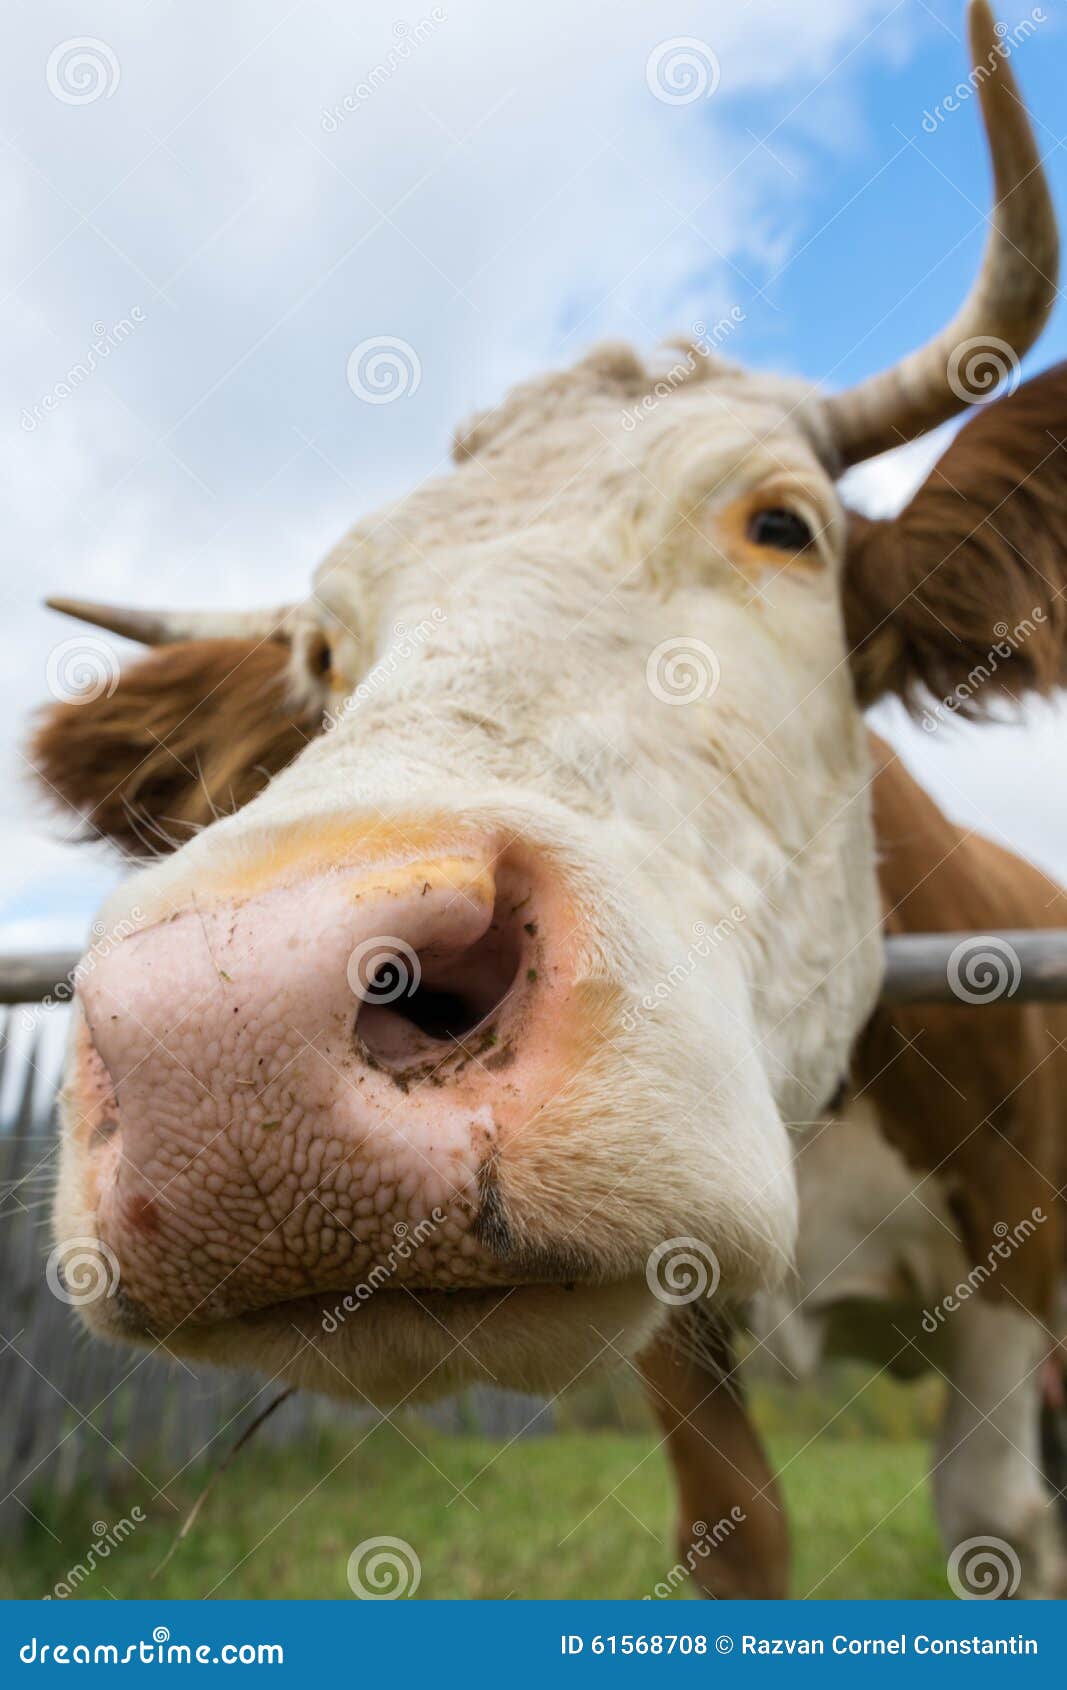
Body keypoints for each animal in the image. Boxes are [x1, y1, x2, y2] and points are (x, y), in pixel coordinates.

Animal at [26, 1, 1067, 1597]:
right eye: (320, 652)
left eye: (783, 526)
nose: (225, 1027)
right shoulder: (672, 1331)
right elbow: (732, 1531)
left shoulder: (1021, 1263)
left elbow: (997, 1521)